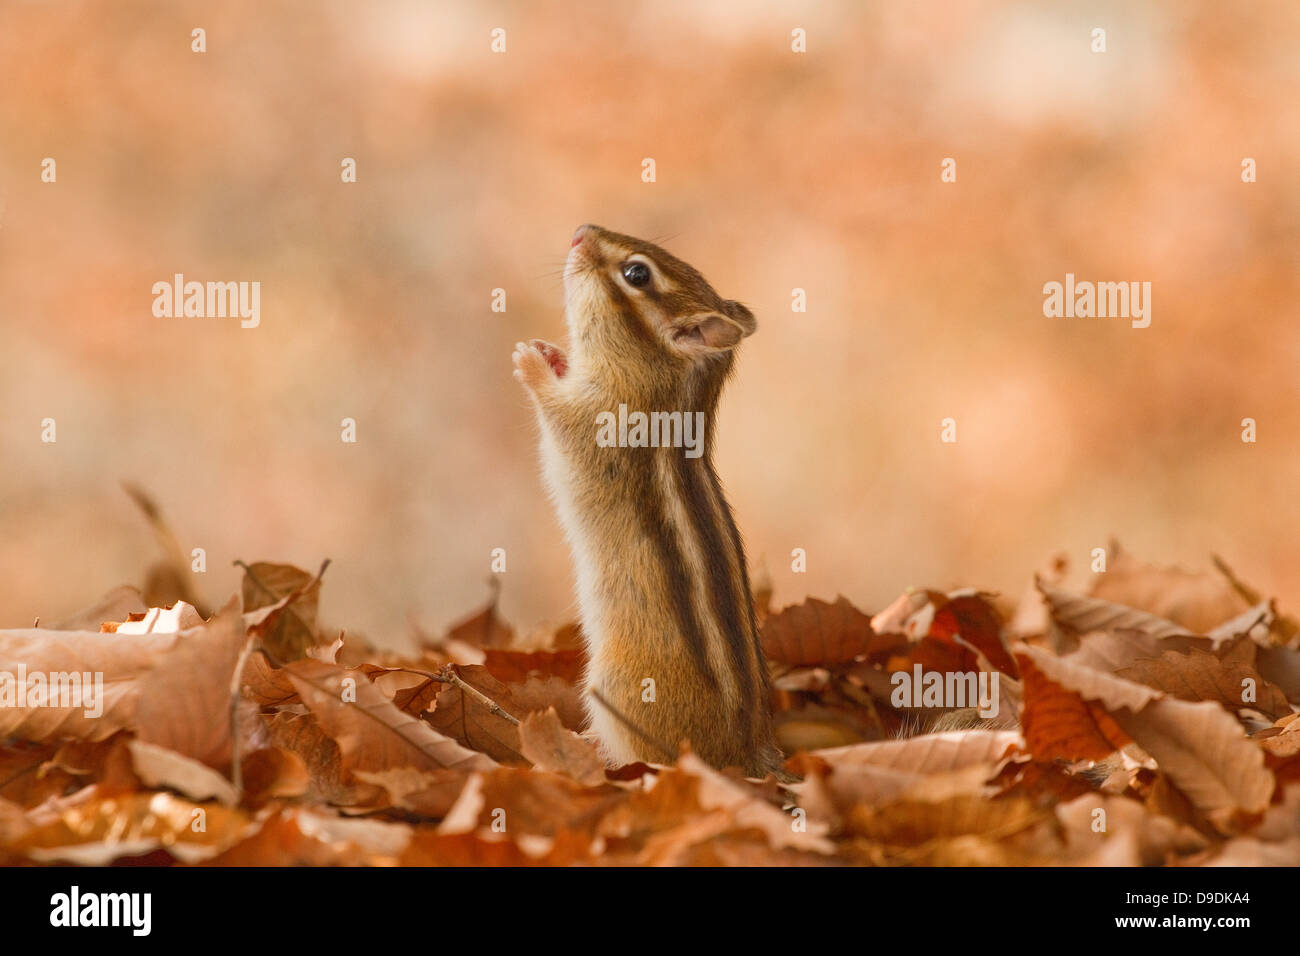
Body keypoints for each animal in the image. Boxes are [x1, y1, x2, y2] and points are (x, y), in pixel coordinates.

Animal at [512, 224, 784, 777]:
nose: (580, 232)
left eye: (637, 273)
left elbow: (555, 412)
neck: (667, 388)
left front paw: (530, 360)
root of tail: (742, 755)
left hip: (614, 687)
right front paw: (551, 353)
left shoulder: (592, 419)